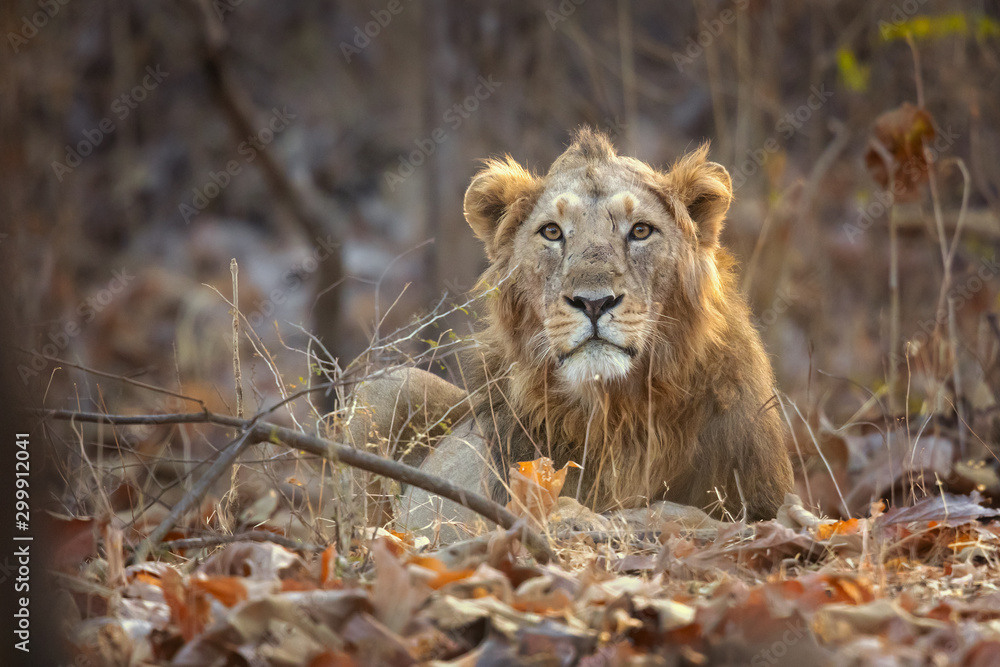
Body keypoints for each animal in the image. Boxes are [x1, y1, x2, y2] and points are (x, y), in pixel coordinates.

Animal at [354, 127, 793, 539]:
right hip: (386, 384)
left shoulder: (761, 497)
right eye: (552, 232)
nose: (594, 302)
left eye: (641, 231)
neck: (618, 411)